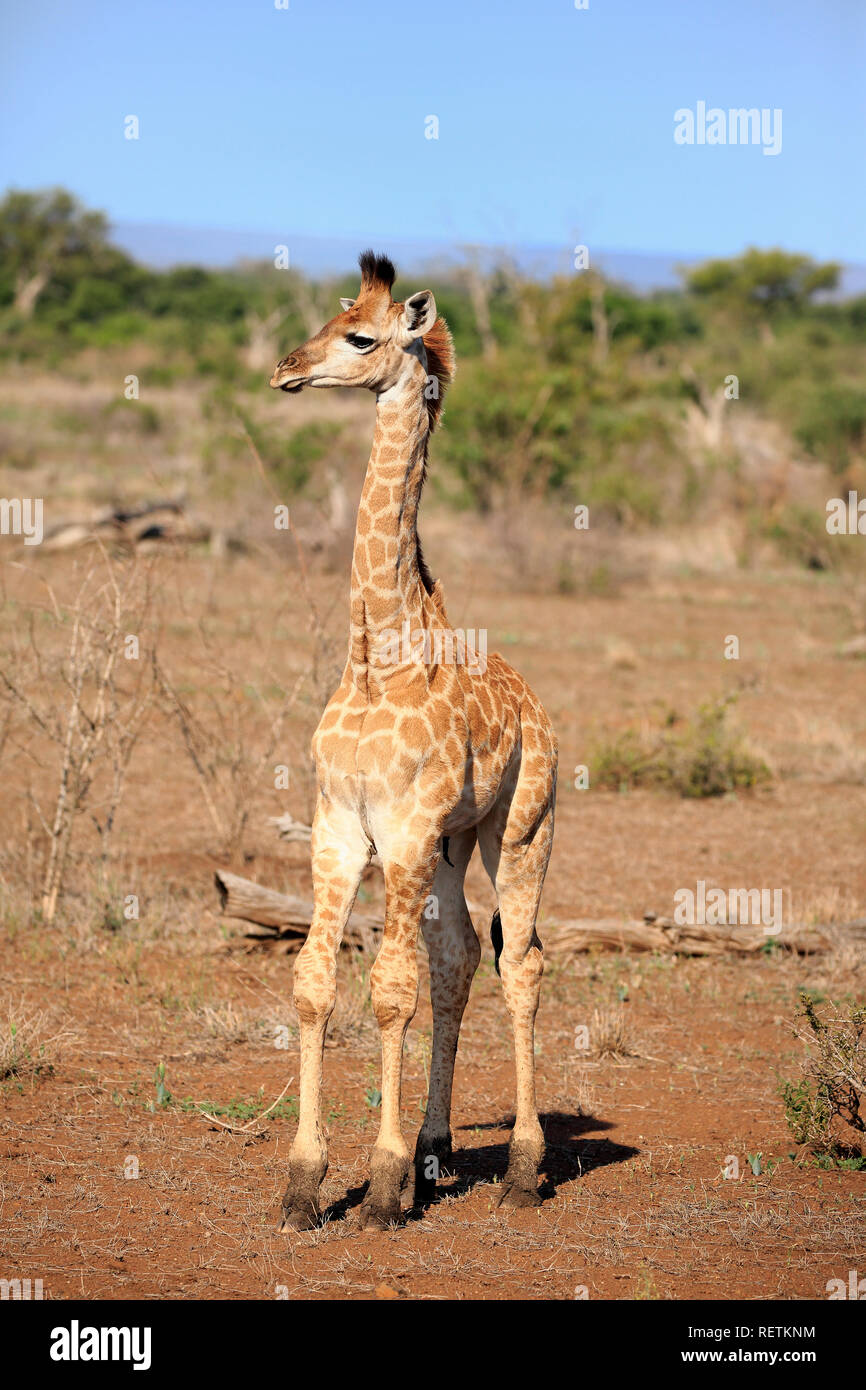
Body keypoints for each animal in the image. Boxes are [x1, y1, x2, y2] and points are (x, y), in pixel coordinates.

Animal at [269, 251, 557, 1231]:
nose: (285, 369)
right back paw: (440, 1149)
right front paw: (305, 1183)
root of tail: (541, 707)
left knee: (522, 963)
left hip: (520, 828)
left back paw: (520, 1167)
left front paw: (384, 1184)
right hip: (450, 845)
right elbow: (315, 984)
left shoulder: (398, 831)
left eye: (361, 337)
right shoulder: (339, 826)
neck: (375, 659)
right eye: (328, 321)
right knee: (461, 956)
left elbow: (388, 990)